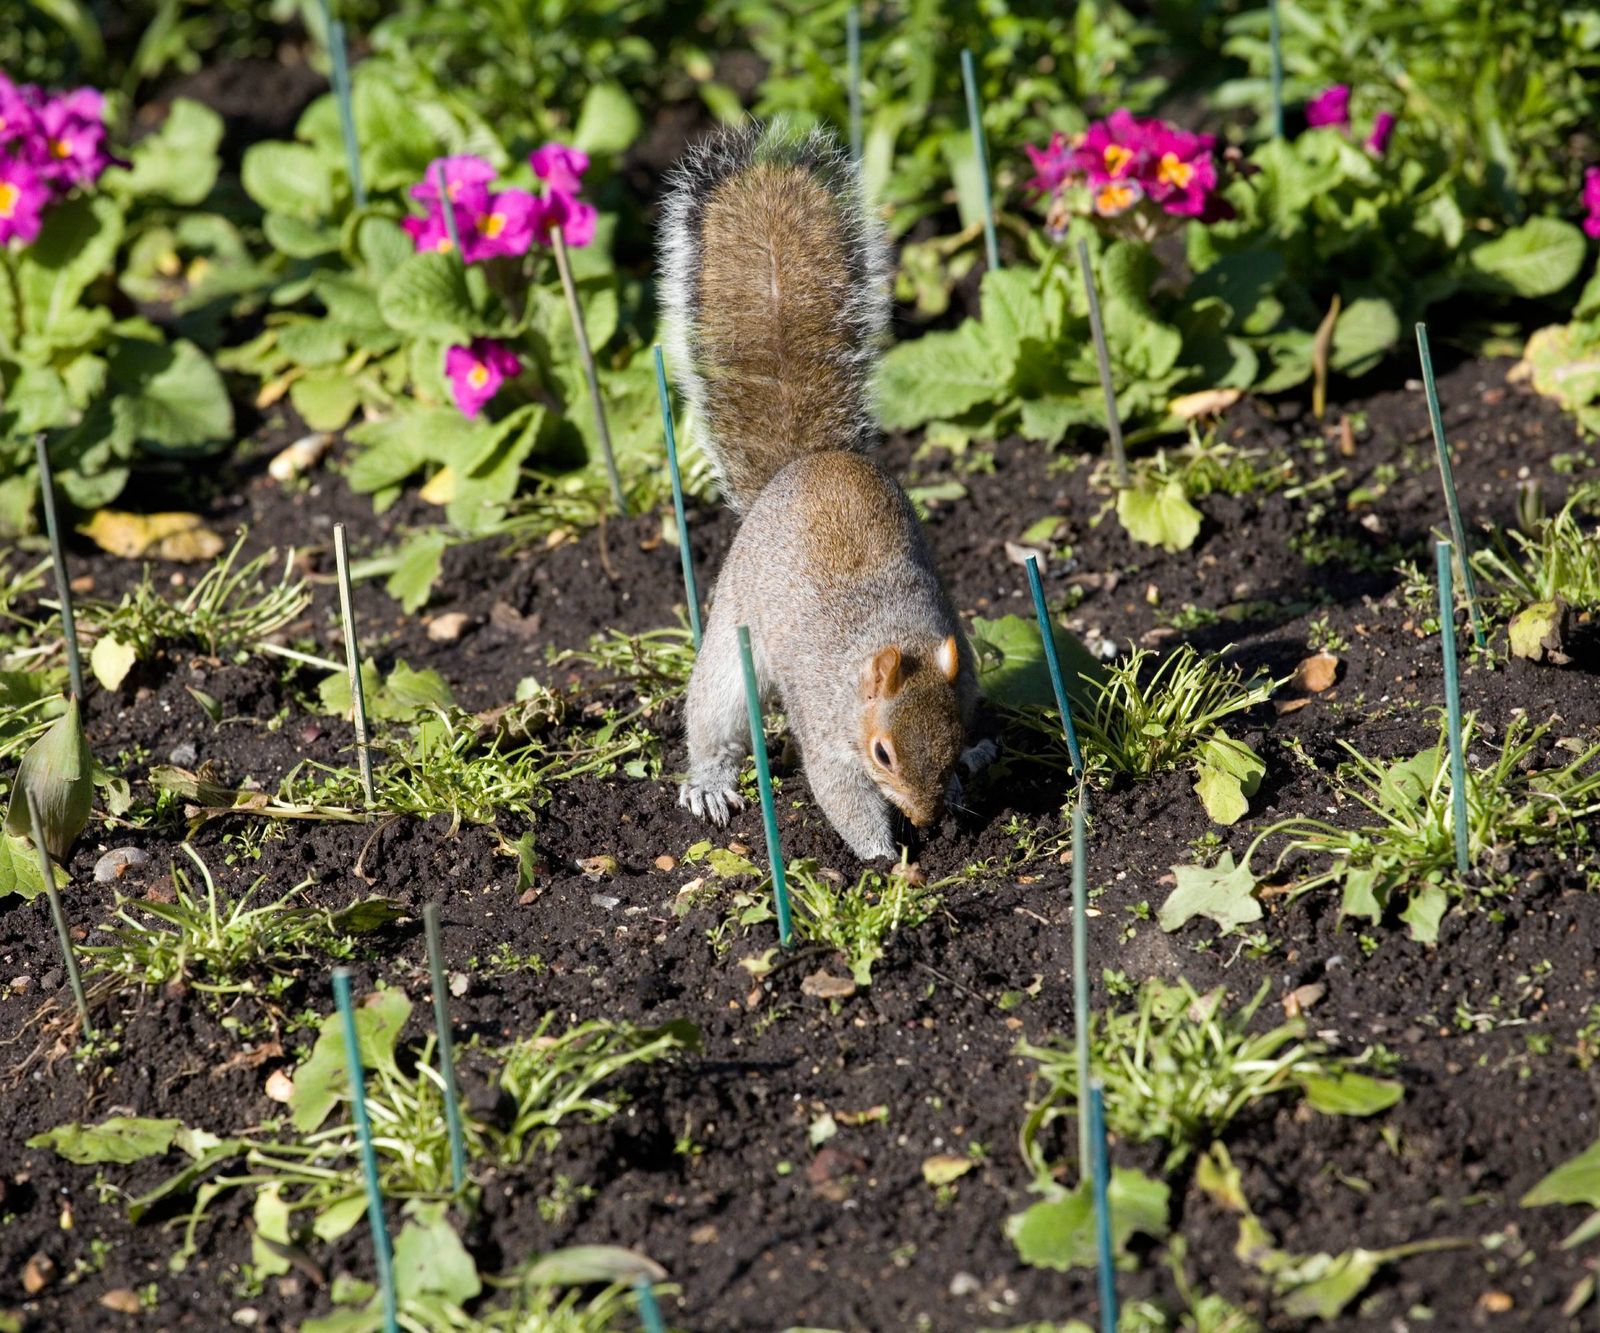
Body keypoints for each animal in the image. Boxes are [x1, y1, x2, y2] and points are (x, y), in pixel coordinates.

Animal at [658, 122, 995, 861]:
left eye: (952, 735)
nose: (925, 818)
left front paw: (961, 783)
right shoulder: (823, 722)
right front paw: (883, 856)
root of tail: (807, 463)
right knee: (714, 713)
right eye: (882, 753)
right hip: (731, 640)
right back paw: (709, 781)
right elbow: (841, 795)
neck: (892, 637)